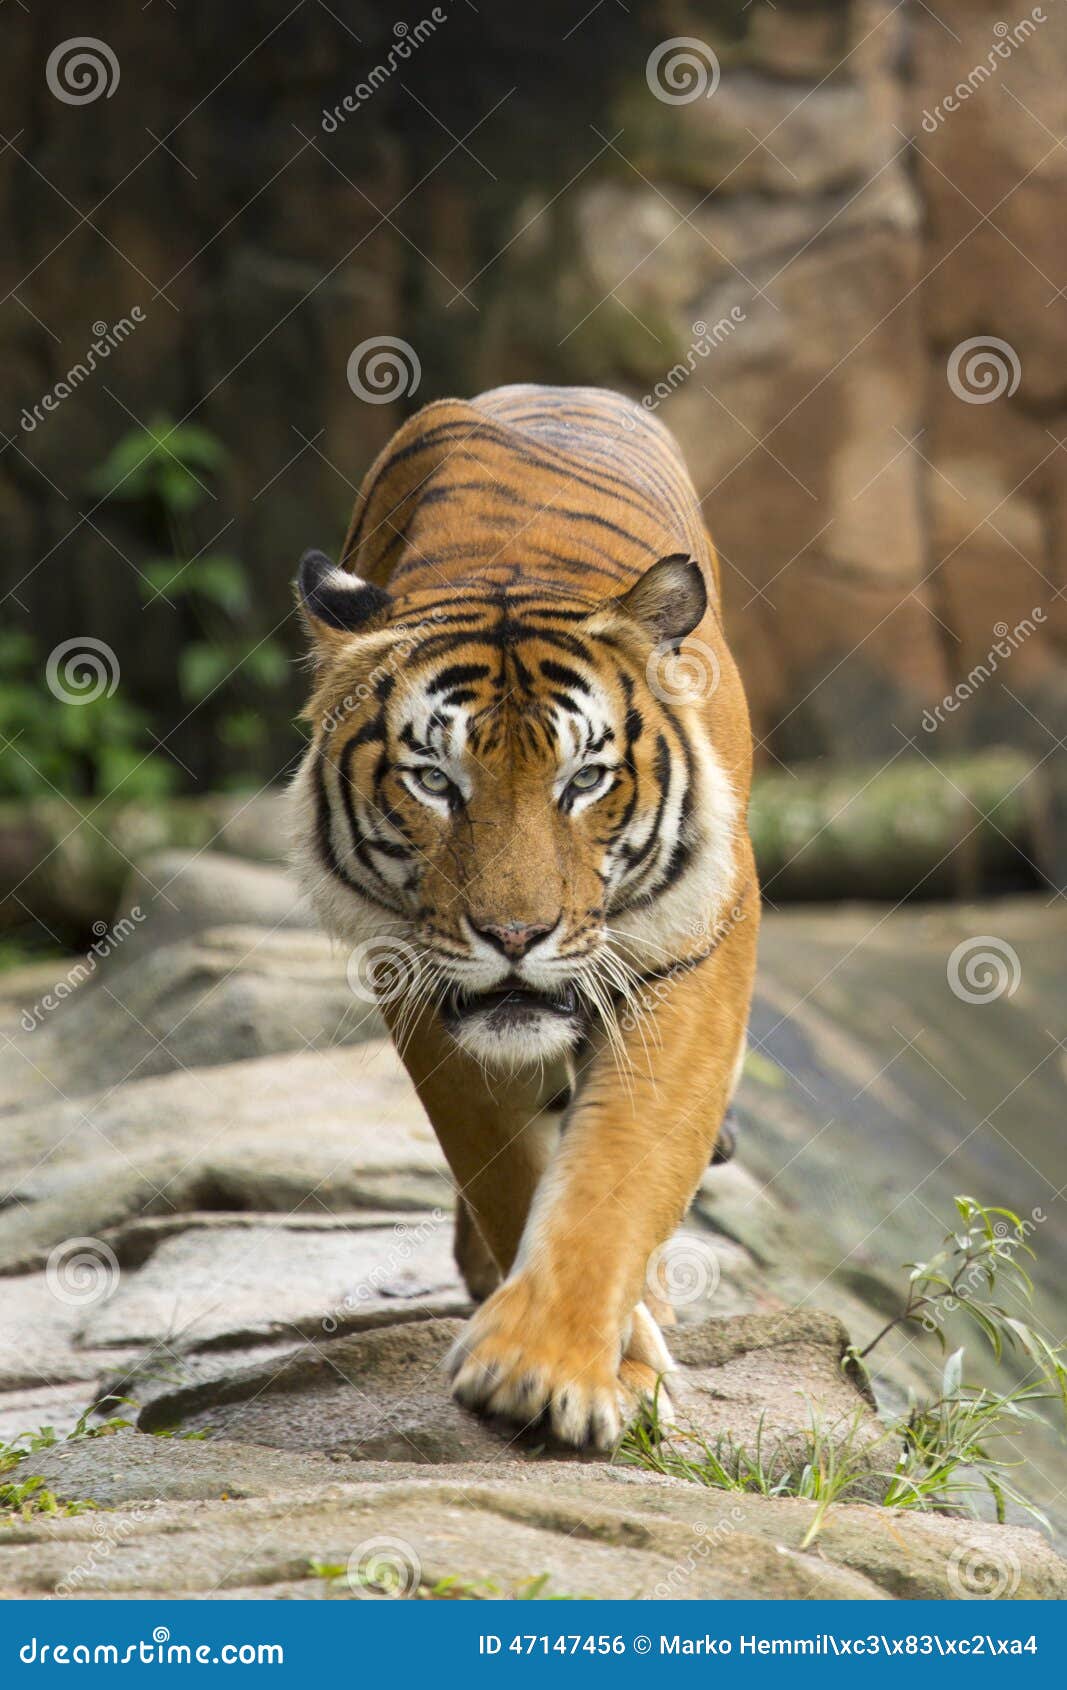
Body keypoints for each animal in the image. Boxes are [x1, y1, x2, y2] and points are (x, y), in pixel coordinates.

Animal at [291, 384, 759, 1449]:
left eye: (583, 780)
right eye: (434, 779)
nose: (513, 939)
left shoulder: (691, 954)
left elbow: (620, 1164)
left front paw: (545, 1371)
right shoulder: (423, 982)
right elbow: (501, 1162)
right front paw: (594, 1357)